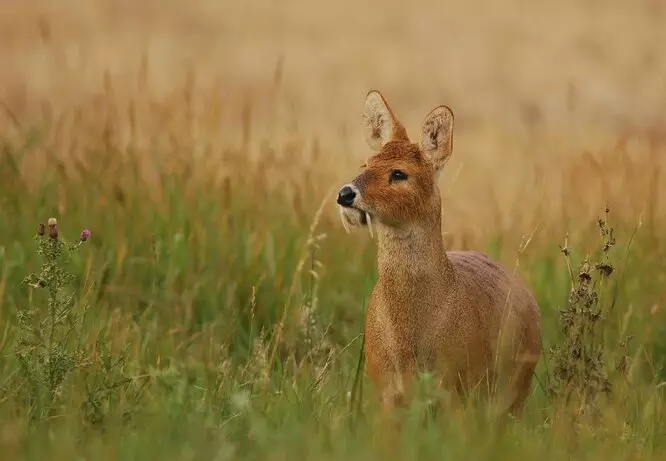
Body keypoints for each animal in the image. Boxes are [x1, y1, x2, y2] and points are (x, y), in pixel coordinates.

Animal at [338, 90, 540, 416]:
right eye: (365, 165)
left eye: (399, 173)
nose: (345, 194)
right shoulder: (383, 386)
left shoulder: (456, 384)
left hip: (516, 387)